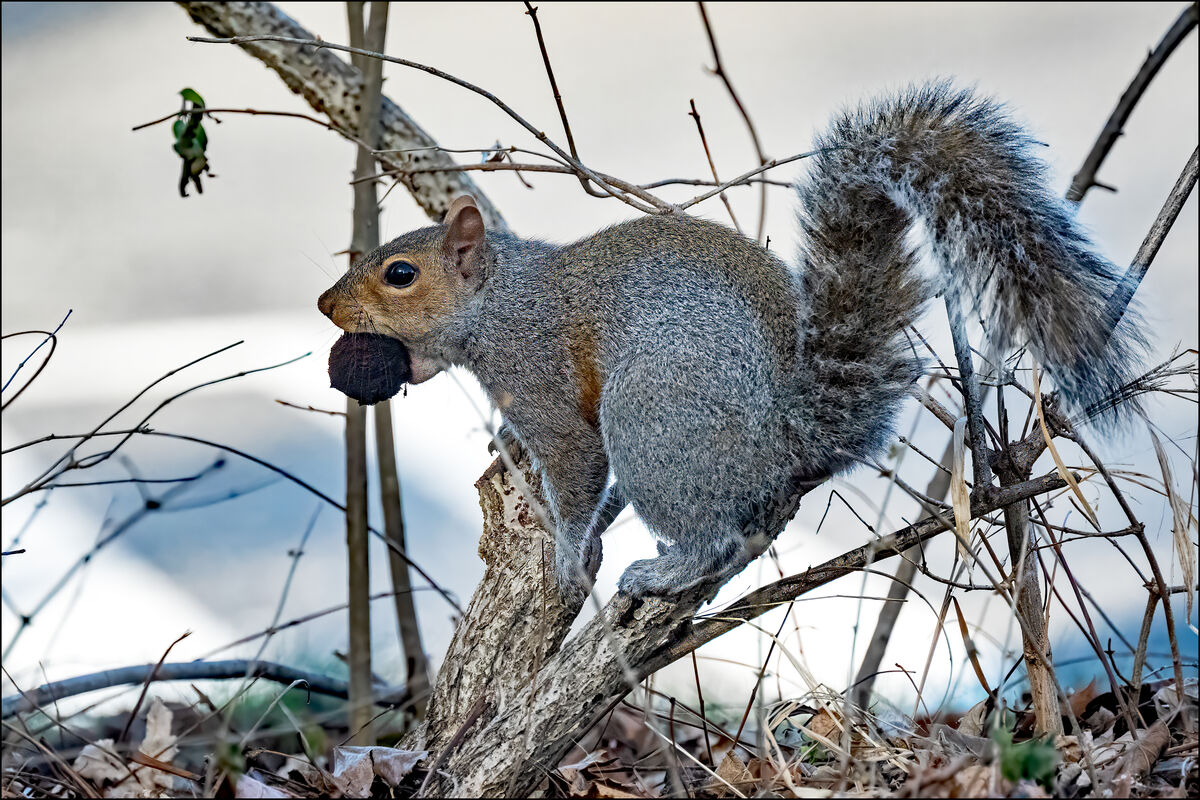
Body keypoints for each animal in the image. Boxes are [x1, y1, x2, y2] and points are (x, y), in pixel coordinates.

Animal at [318, 82, 1146, 606]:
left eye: (399, 274)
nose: (327, 305)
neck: (499, 302)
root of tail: (788, 434)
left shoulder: (544, 382)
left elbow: (577, 475)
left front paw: (568, 557)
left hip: (654, 418)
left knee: (713, 538)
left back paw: (665, 572)